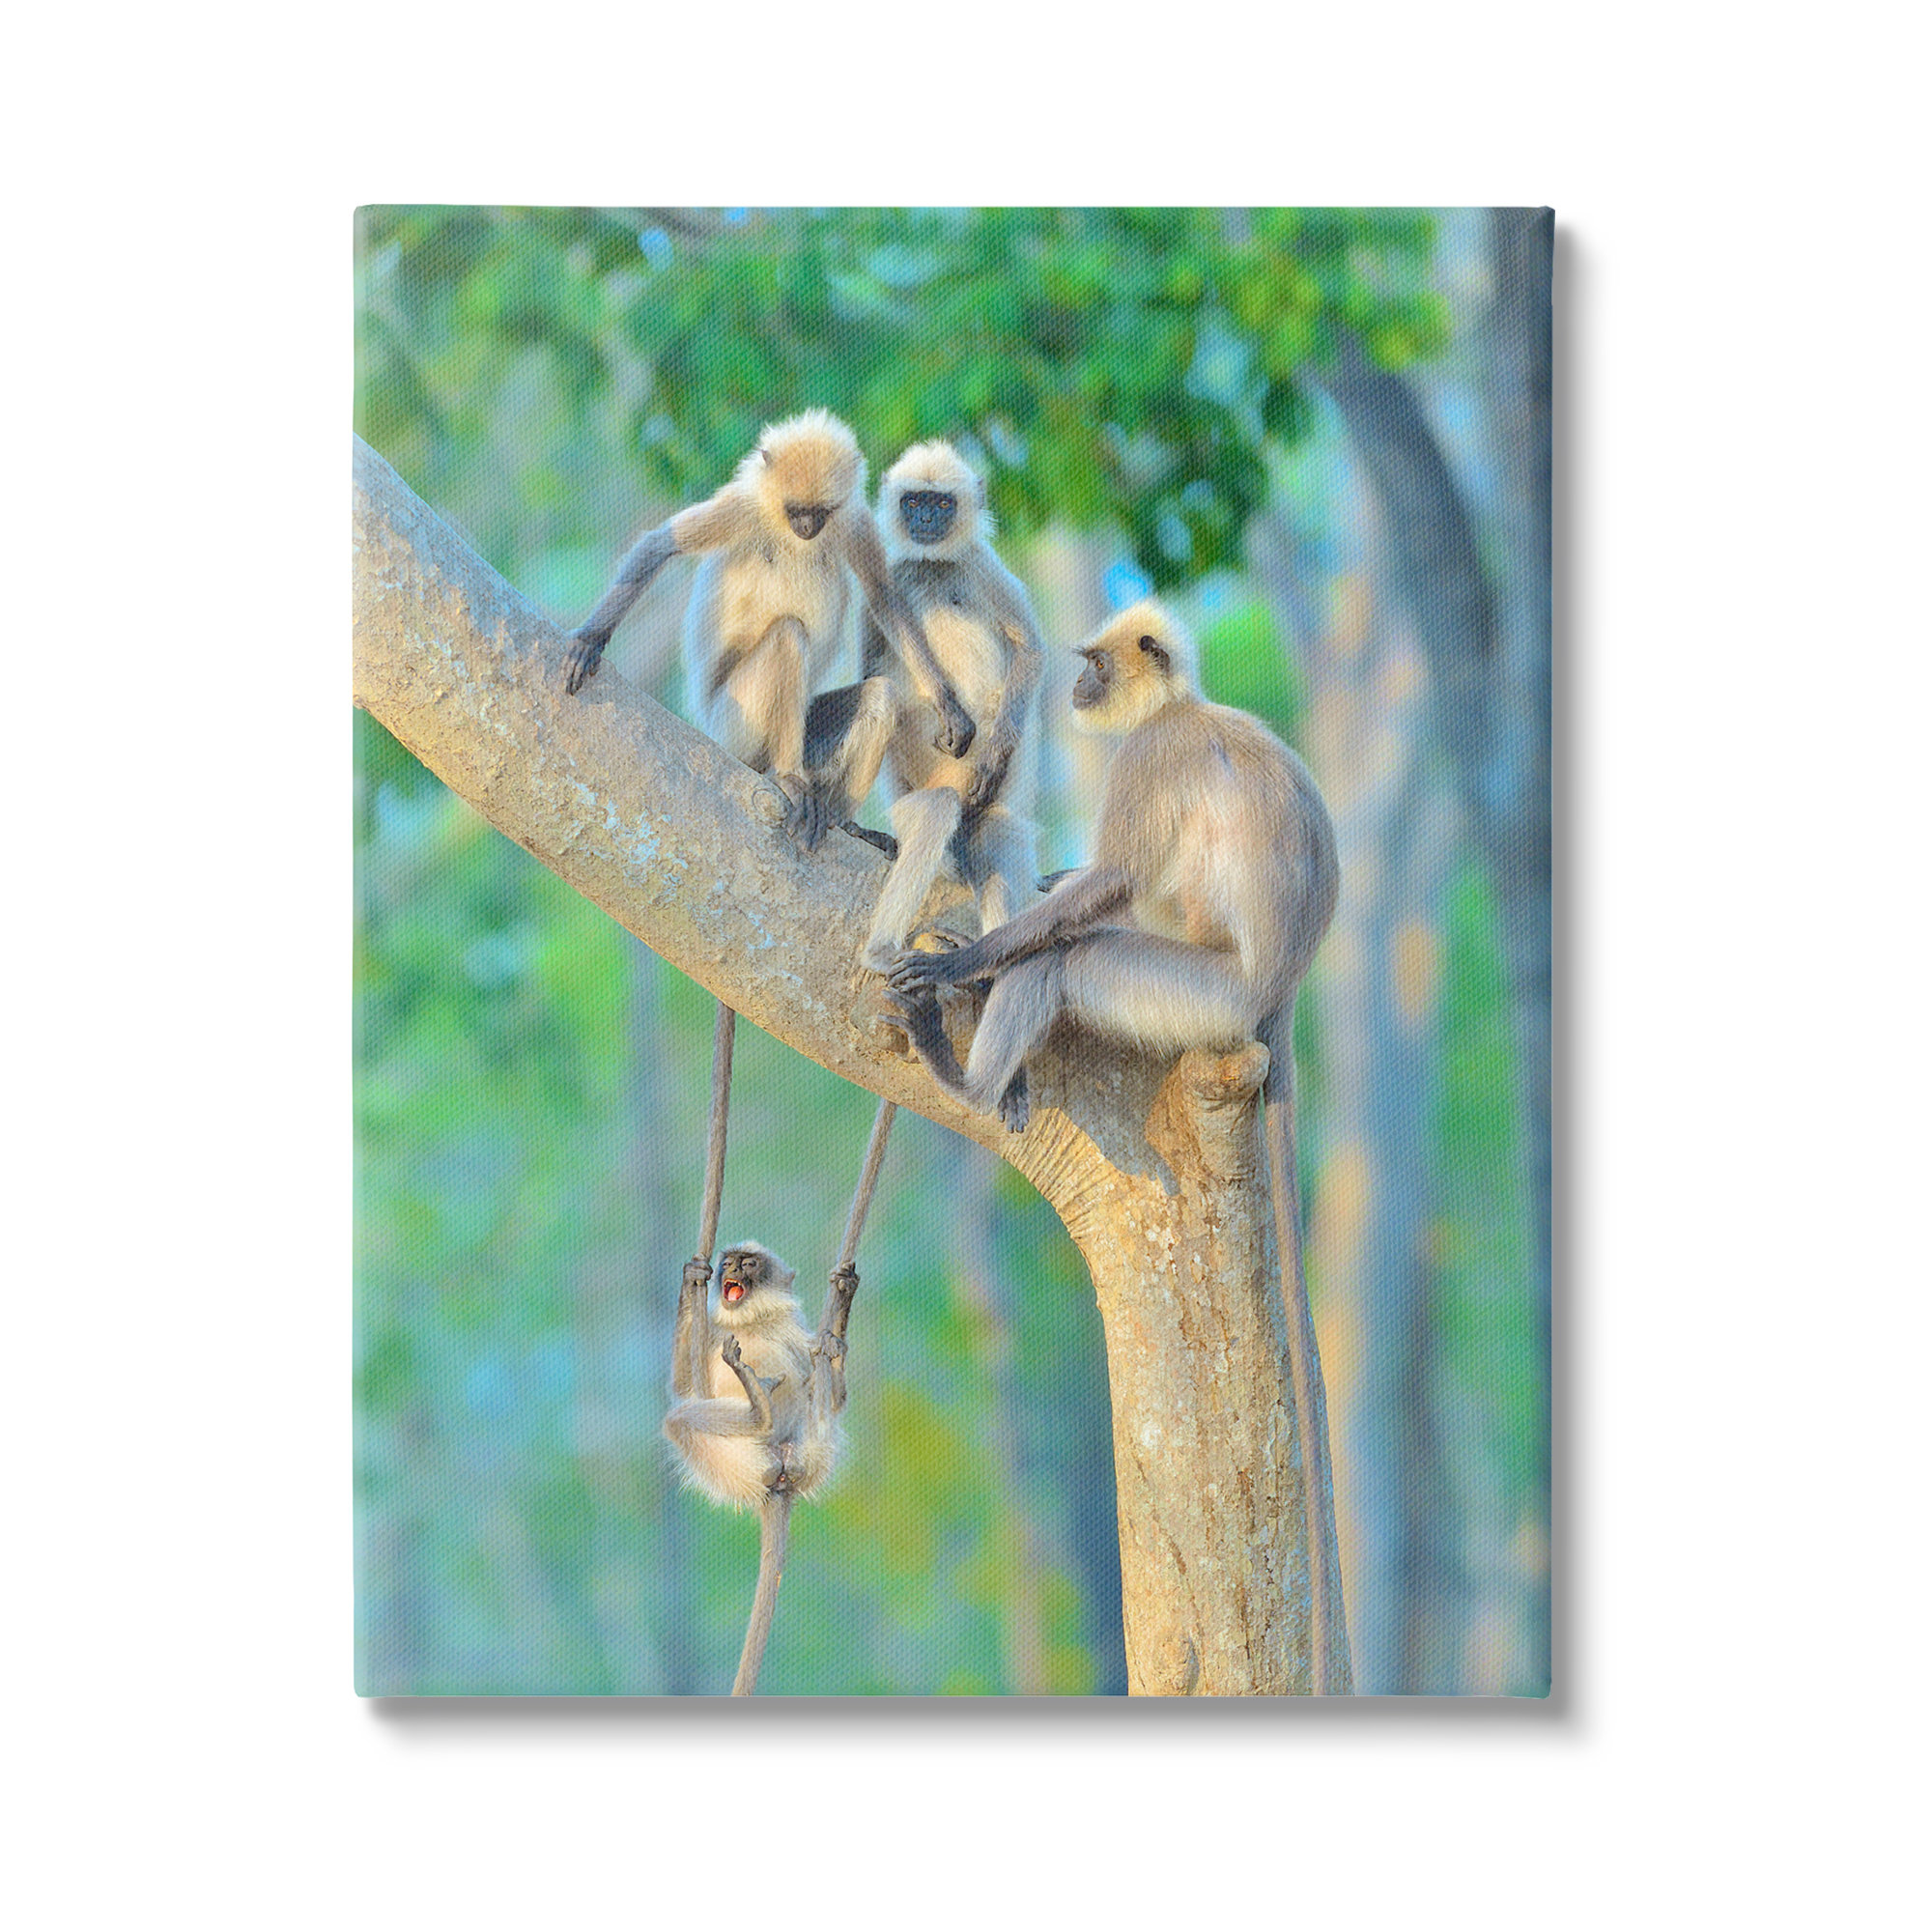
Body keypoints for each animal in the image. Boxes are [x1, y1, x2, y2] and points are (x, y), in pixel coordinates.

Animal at [561, 409, 975, 847]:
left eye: (820, 512)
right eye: (795, 511)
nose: (807, 527)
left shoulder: (853, 519)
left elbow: (884, 598)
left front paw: (949, 706)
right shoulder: (743, 506)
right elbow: (660, 545)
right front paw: (589, 640)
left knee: (881, 695)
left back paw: (842, 820)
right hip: (733, 725)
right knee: (789, 635)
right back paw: (788, 777)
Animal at [664, 1240, 859, 1695]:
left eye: (749, 1264)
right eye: (728, 1262)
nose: (731, 1269)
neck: (752, 1322)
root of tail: (780, 1476)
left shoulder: (795, 1331)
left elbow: (835, 1396)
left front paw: (841, 1306)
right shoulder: (716, 1334)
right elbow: (683, 1386)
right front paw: (691, 1276)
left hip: (811, 1450)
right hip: (737, 1464)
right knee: (681, 1421)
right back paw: (758, 1410)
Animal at [854, 440, 1044, 970]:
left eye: (942, 504)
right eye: (914, 501)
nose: (925, 521)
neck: (934, 566)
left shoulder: (983, 564)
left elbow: (1029, 651)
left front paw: (994, 754)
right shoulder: (892, 577)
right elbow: (872, 676)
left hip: (985, 807)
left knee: (995, 836)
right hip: (920, 799)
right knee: (936, 810)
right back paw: (880, 950)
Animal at [886, 600, 1349, 1692]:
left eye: (1095, 663)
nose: (1079, 686)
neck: (1183, 706)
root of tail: (1277, 995)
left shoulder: (1150, 754)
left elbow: (1113, 885)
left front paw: (968, 962)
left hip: (1194, 996)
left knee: (1073, 957)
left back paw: (968, 1073)